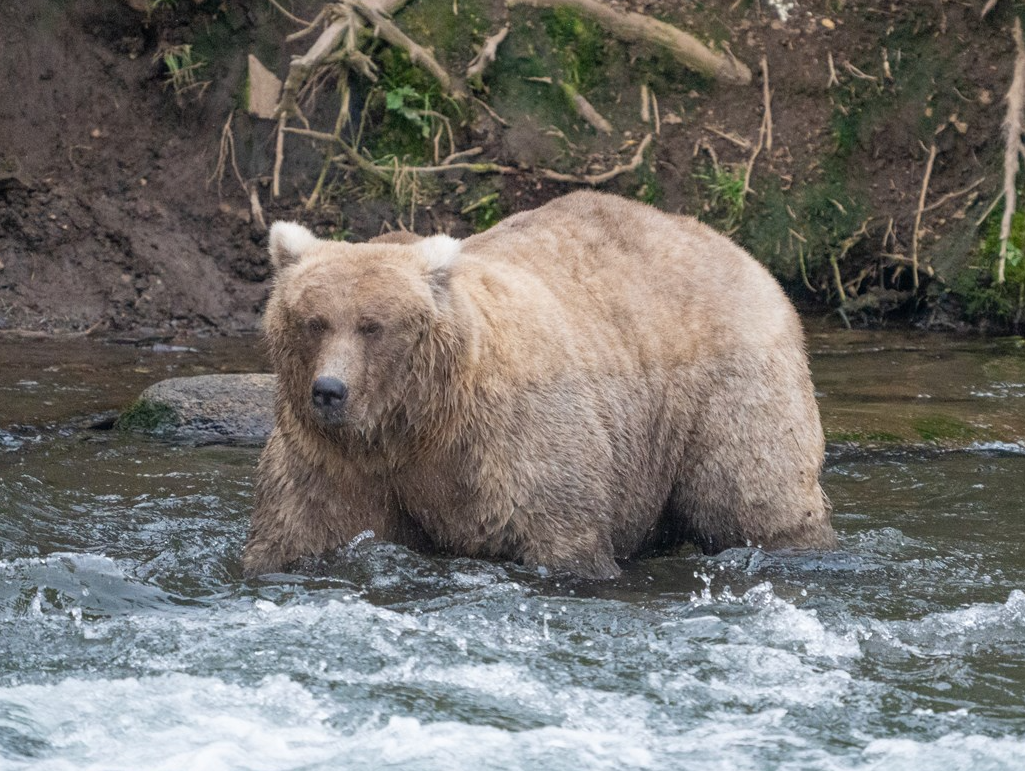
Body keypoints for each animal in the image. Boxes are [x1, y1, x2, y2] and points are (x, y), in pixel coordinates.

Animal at [242, 190, 836, 579]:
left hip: (726, 387)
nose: (329, 390)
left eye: (373, 325)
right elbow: (300, 528)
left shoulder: (512, 441)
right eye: (314, 321)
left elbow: (560, 532)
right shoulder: (334, 458)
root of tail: (737, 250)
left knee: (754, 494)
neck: (415, 423)